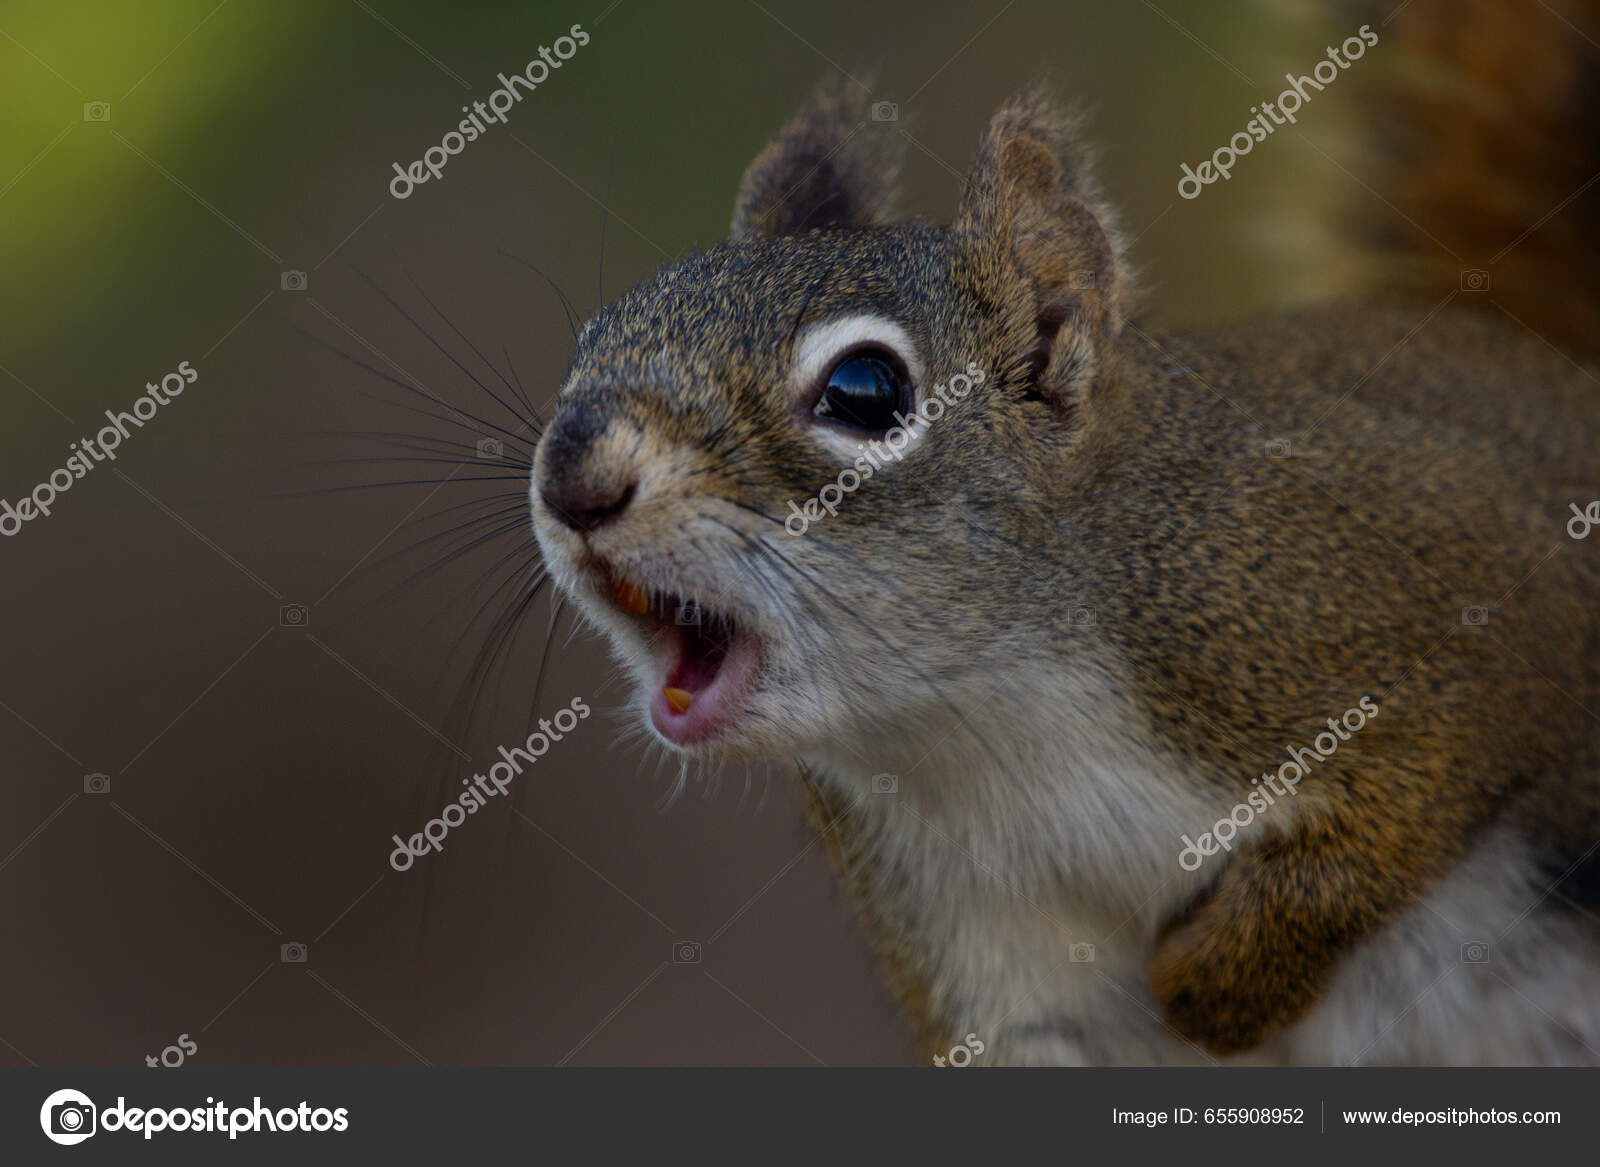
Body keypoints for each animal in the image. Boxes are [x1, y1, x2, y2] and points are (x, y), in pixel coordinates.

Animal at [529, 0, 1600, 1064]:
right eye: (593, 337)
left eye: (866, 390)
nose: (570, 473)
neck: (993, 713)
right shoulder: (975, 946)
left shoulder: (1425, 582)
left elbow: (1417, 785)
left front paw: (1218, 981)